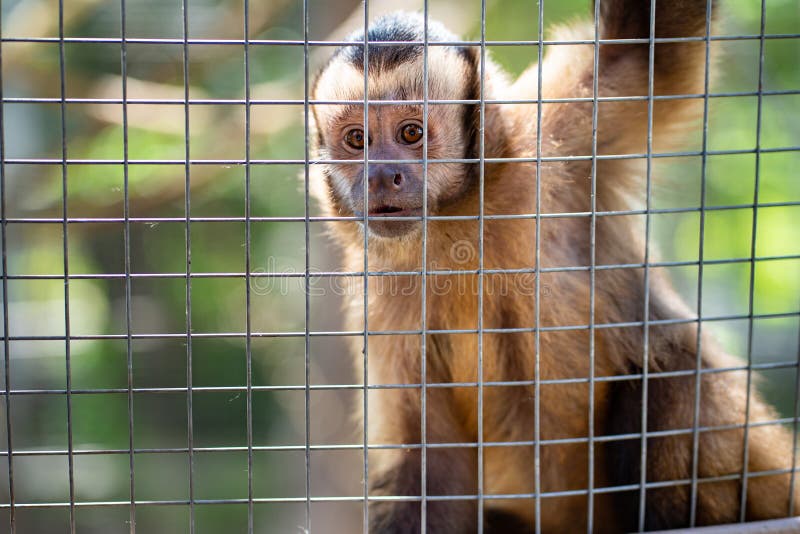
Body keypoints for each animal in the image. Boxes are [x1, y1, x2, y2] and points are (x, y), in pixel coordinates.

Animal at [308, 3, 799, 533]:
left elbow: (646, 47)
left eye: (411, 133)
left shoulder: (555, 136)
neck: (456, 220)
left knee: (670, 371)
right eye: (357, 140)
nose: (382, 175)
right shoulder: (380, 297)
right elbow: (425, 466)